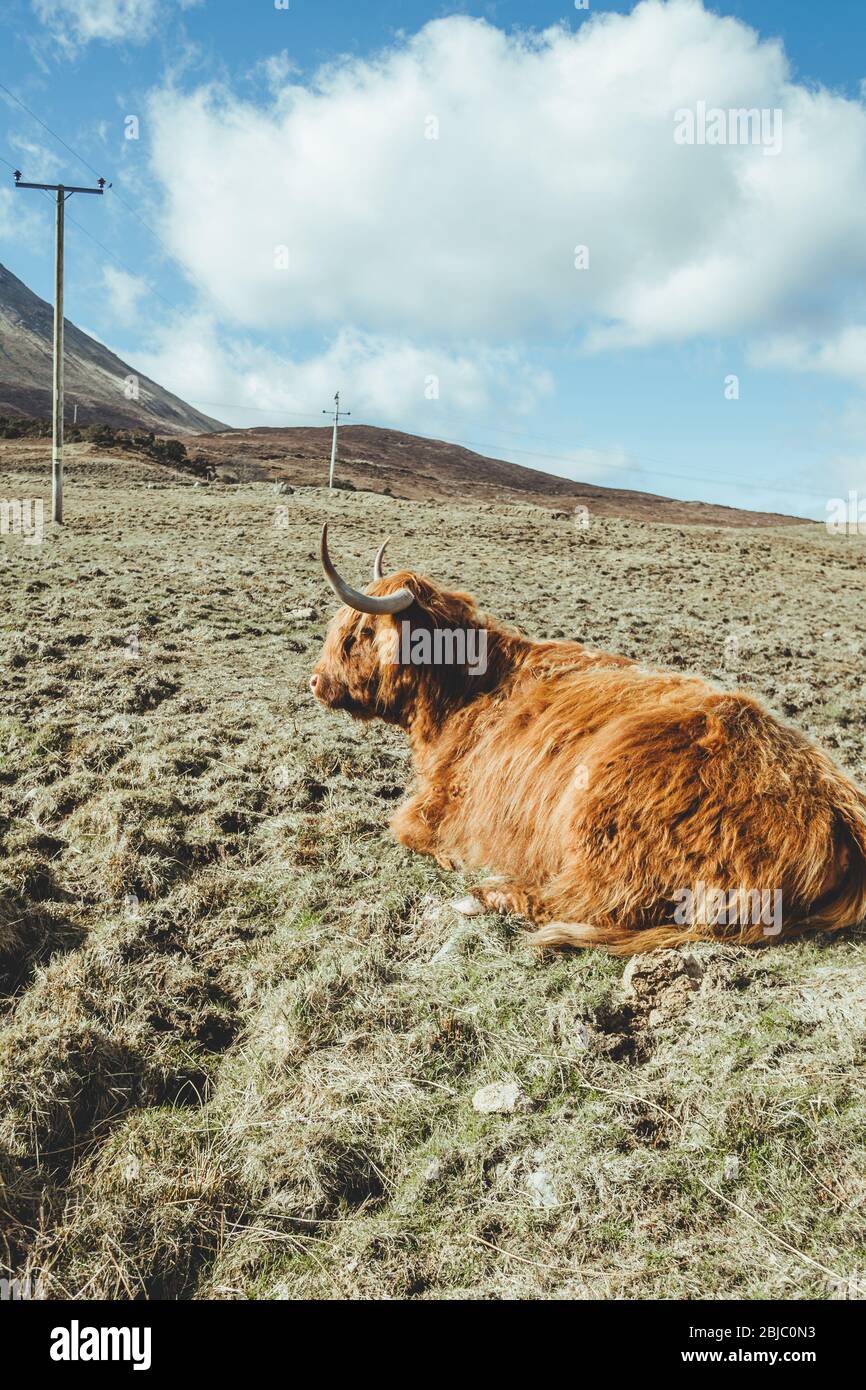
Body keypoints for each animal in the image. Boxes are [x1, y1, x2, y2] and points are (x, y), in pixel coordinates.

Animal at [310, 525, 866, 955]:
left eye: (358, 633)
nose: (315, 682)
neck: (467, 690)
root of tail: (837, 804)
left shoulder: (443, 803)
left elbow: (401, 825)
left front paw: (454, 856)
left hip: (614, 831)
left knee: (593, 900)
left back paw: (486, 894)